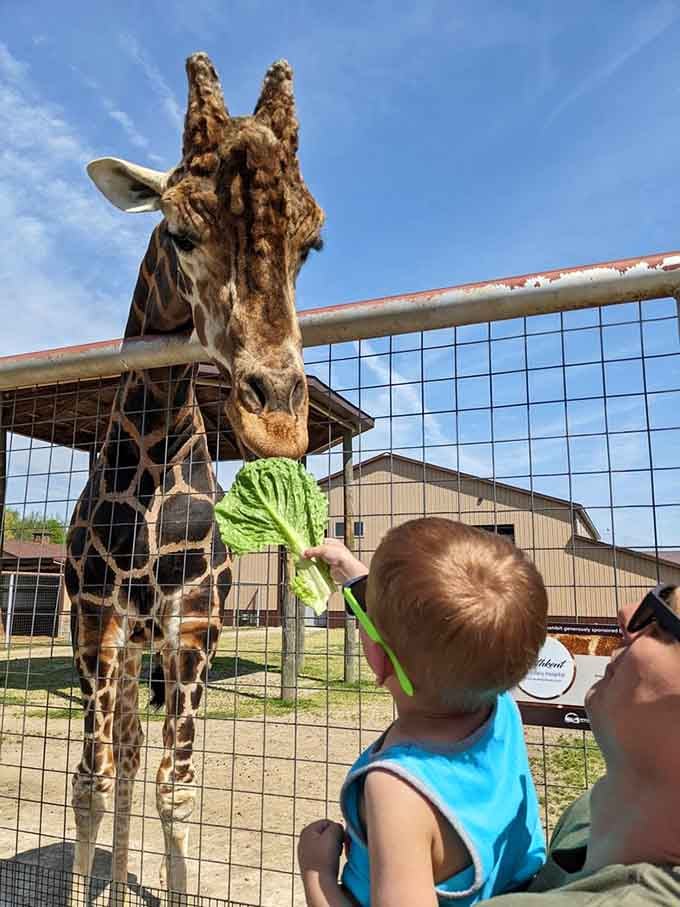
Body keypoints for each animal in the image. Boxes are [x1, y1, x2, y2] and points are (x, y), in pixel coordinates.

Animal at [64, 53, 324, 902]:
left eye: (313, 243)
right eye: (179, 231)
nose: (278, 420)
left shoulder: (196, 622)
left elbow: (178, 790)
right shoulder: (97, 620)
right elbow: (90, 781)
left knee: (142, 754)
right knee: (123, 750)